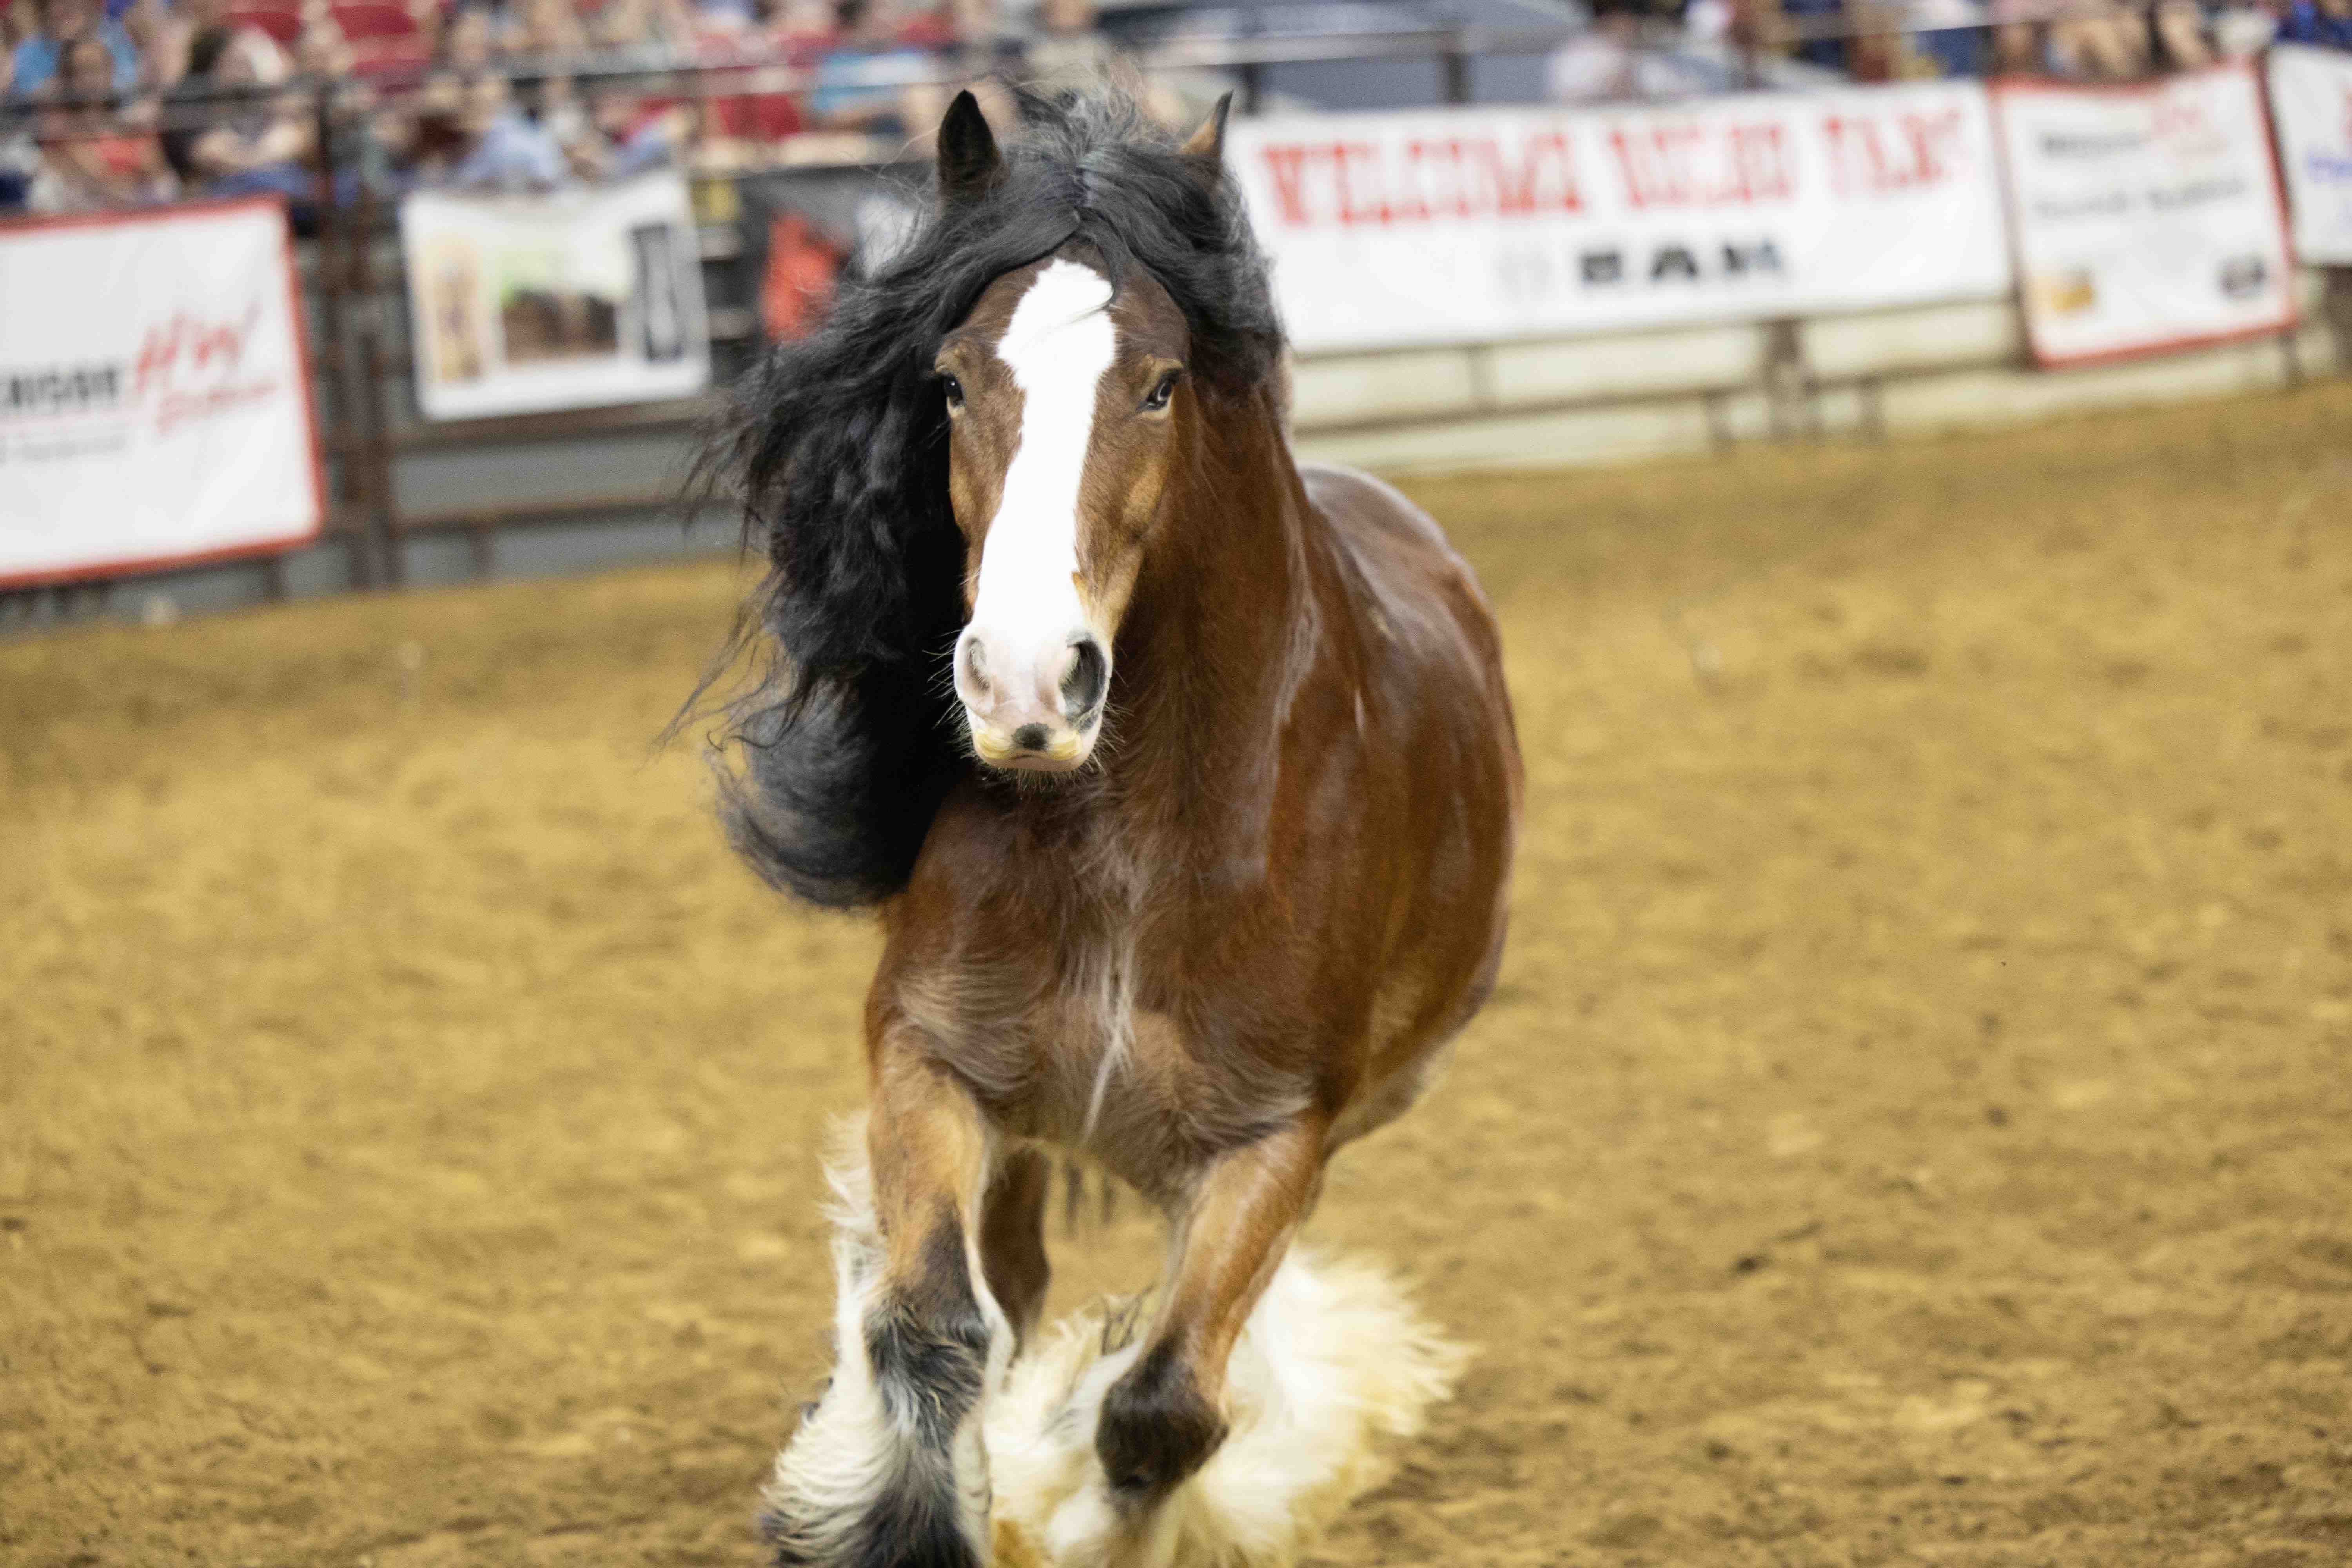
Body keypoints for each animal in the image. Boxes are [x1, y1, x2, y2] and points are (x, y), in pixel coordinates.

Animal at [698, 88, 1522, 1568]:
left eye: (1159, 383)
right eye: (952, 381)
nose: (1026, 683)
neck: (1142, 855)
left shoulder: (1270, 1138)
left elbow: (1163, 1408)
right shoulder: (932, 1054)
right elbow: (930, 1325)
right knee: (1005, 1286)